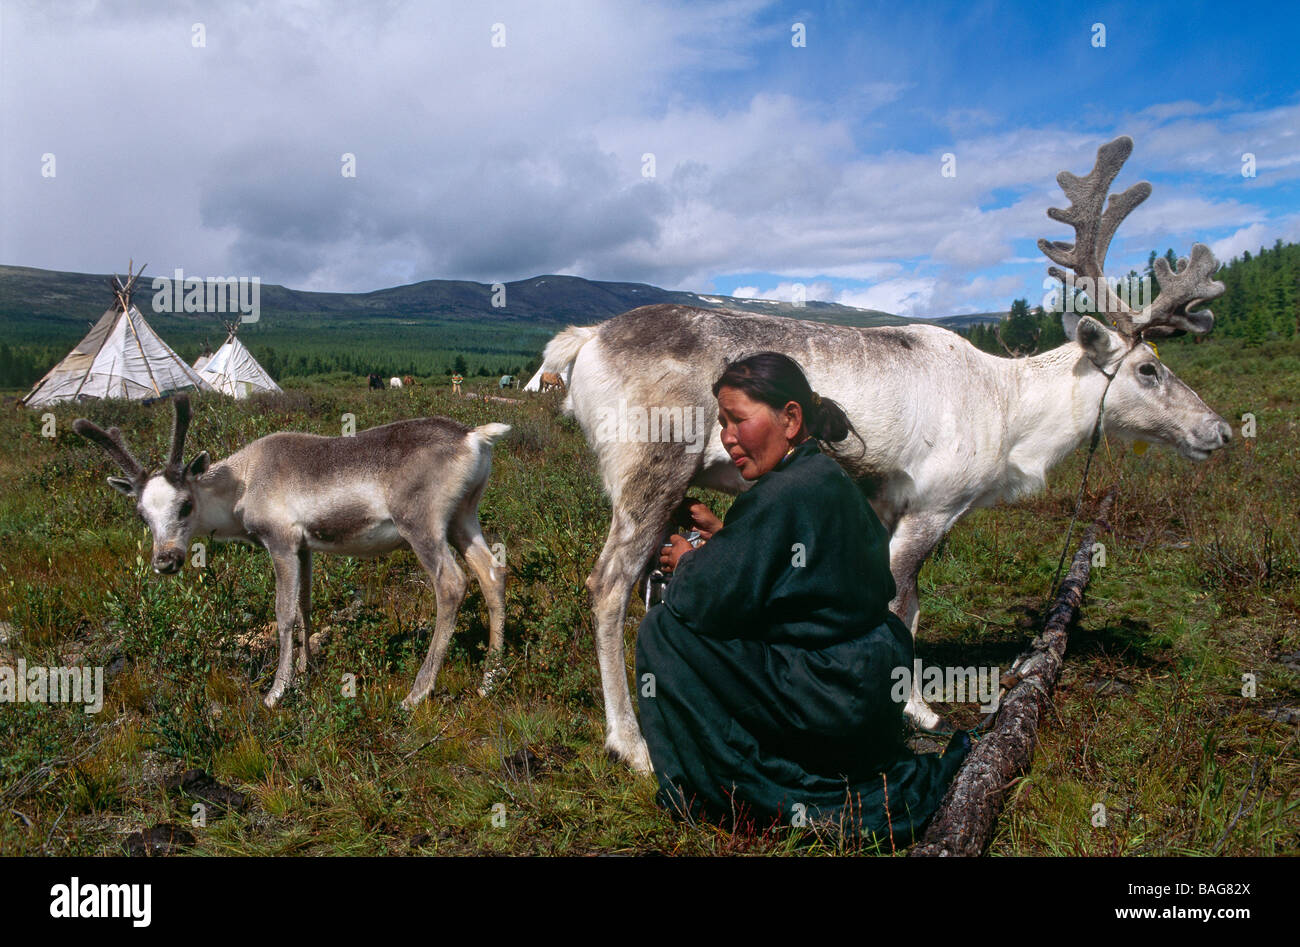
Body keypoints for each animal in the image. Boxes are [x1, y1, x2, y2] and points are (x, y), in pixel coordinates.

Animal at [73, 395, 510, 708]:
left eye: (185, 504)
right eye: (141, 514)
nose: (166, 560)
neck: (244, 481)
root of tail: (473, 436)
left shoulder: (280, 542)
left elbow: (283, 613)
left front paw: (276, 691)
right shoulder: (305, 548)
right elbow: (304, 607)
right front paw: (305, 672)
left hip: (421, 525)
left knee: (452, 584)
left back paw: (417, 693)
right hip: (463, 518)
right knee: (492, 573)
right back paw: (489, 680)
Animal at [536, 136, 1232, 773]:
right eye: (1147, 369)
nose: (1219, 430)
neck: (1010, 413)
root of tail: (584, 341)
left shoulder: (890, 504)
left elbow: (909, 606)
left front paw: (914, 705)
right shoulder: (934, 504)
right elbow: (900, 603)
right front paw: (911, 711)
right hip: (652, 468)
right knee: (608, 583)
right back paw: (630, 745)